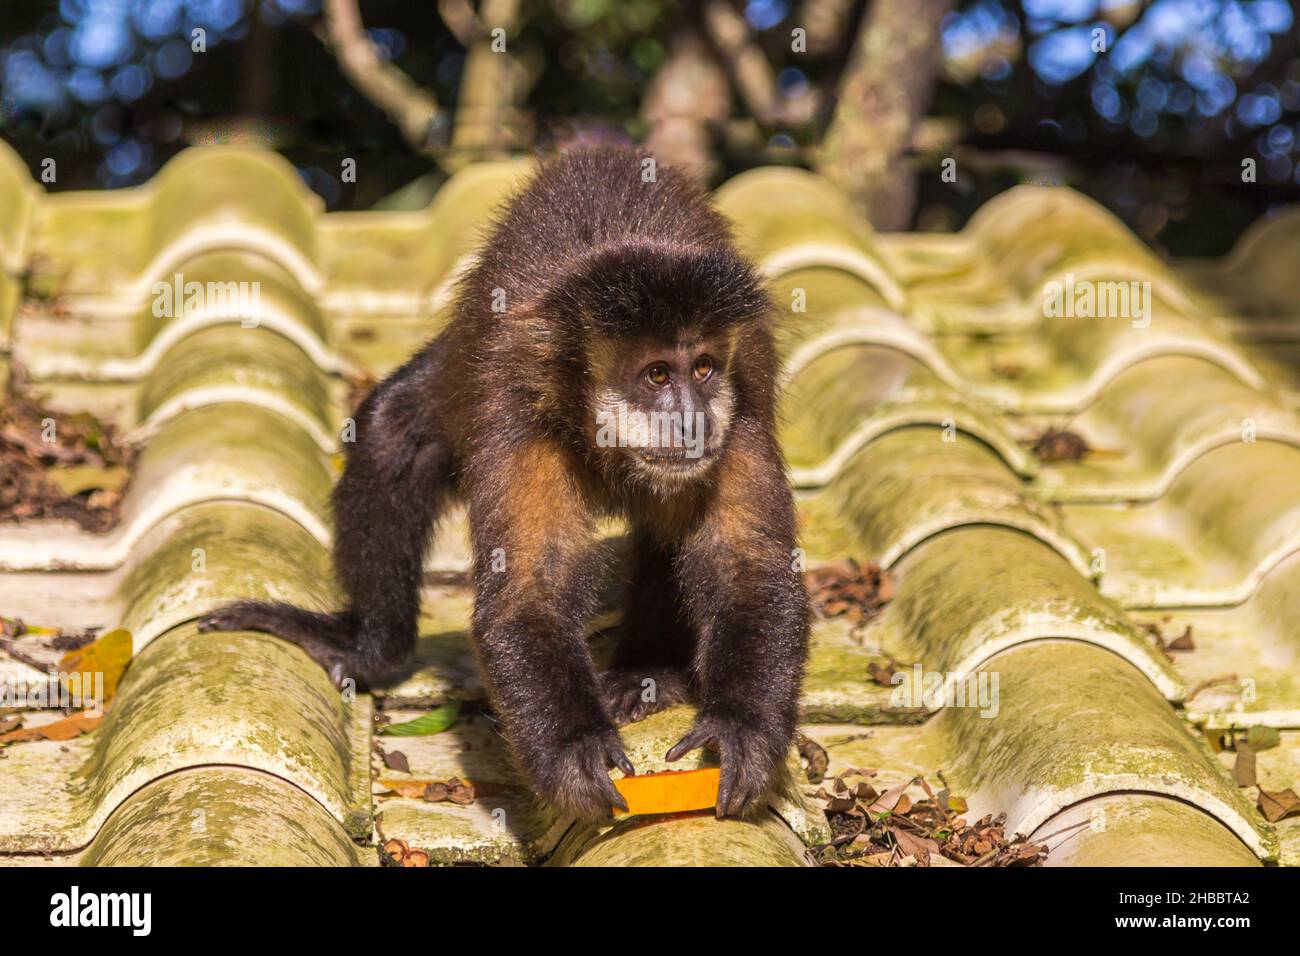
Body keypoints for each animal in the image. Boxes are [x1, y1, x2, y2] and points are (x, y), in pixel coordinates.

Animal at [199, 147, 811, 821]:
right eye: (656, 375)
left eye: (702, 368)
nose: (692, 417)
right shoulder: (522, 420)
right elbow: (526, 589)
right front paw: (575, 748)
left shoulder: (741, 411)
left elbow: (750, 570)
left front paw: (739, 728)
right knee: (391, 428)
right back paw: (371, 648)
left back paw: (647, 673)